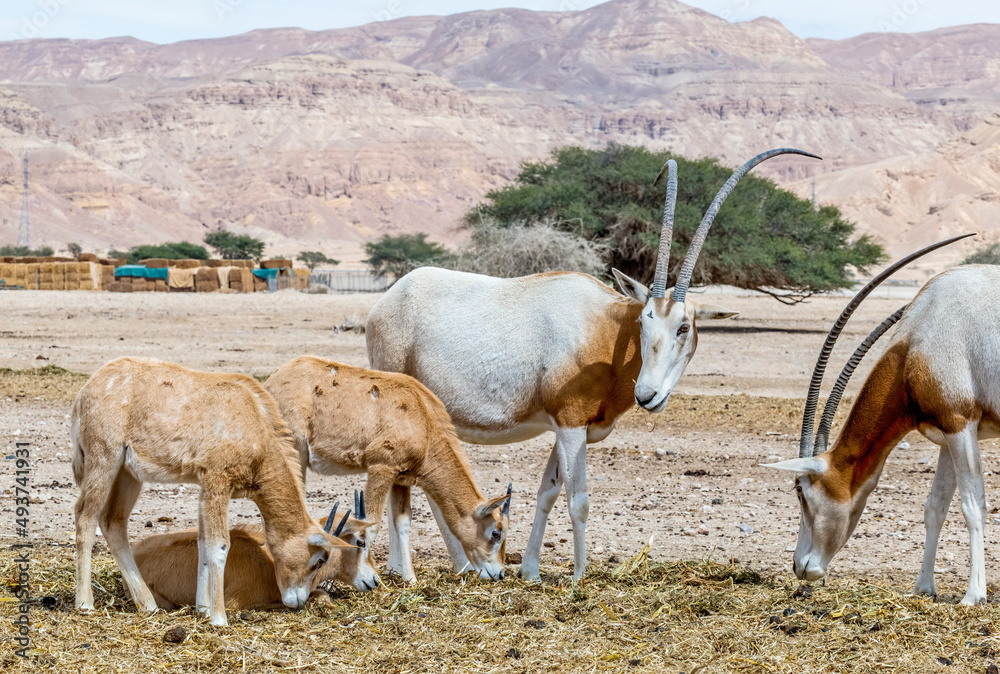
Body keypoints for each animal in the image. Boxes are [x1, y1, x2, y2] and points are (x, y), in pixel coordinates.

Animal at [71, 357, 344, 626]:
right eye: (319, 560)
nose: (297, 601)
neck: (255, 420)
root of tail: (85, 391)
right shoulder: (217, 481)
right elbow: (219, 545)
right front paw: (219, 618)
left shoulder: (205, 486)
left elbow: (203, 542)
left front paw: (202, 609)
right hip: (104, 458)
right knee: (85, 515)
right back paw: (85, 603)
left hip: (128, 474)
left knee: (113, 522)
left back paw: (147, 604)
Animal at [264, 356, 512, 582]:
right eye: (496, 532)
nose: (499, 574)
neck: (422, 415)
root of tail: (271, 381)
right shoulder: (381, 468)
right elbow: (370, 527)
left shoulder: (400, 477)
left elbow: (402, 522)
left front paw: (410, 579)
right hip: (296, 453)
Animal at [366, 148, 818, 581]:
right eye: (644, 320)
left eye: (683, 327)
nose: (648, 395)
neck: (606, 331)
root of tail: (388, 300)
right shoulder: (570, 424)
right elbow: (577, 498)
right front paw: (579, 576)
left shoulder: (569, 426)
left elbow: (548, 491)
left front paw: (531, 571)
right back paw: (406, 571)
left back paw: (458, 565)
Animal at [762, 235, 1000, 605]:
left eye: (800, 491)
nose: (800, 566)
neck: (920, 334)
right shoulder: (948, 434)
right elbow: (935, 507)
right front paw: (922, 588)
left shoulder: (960, 422)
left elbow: (973, 506)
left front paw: (973, 596)